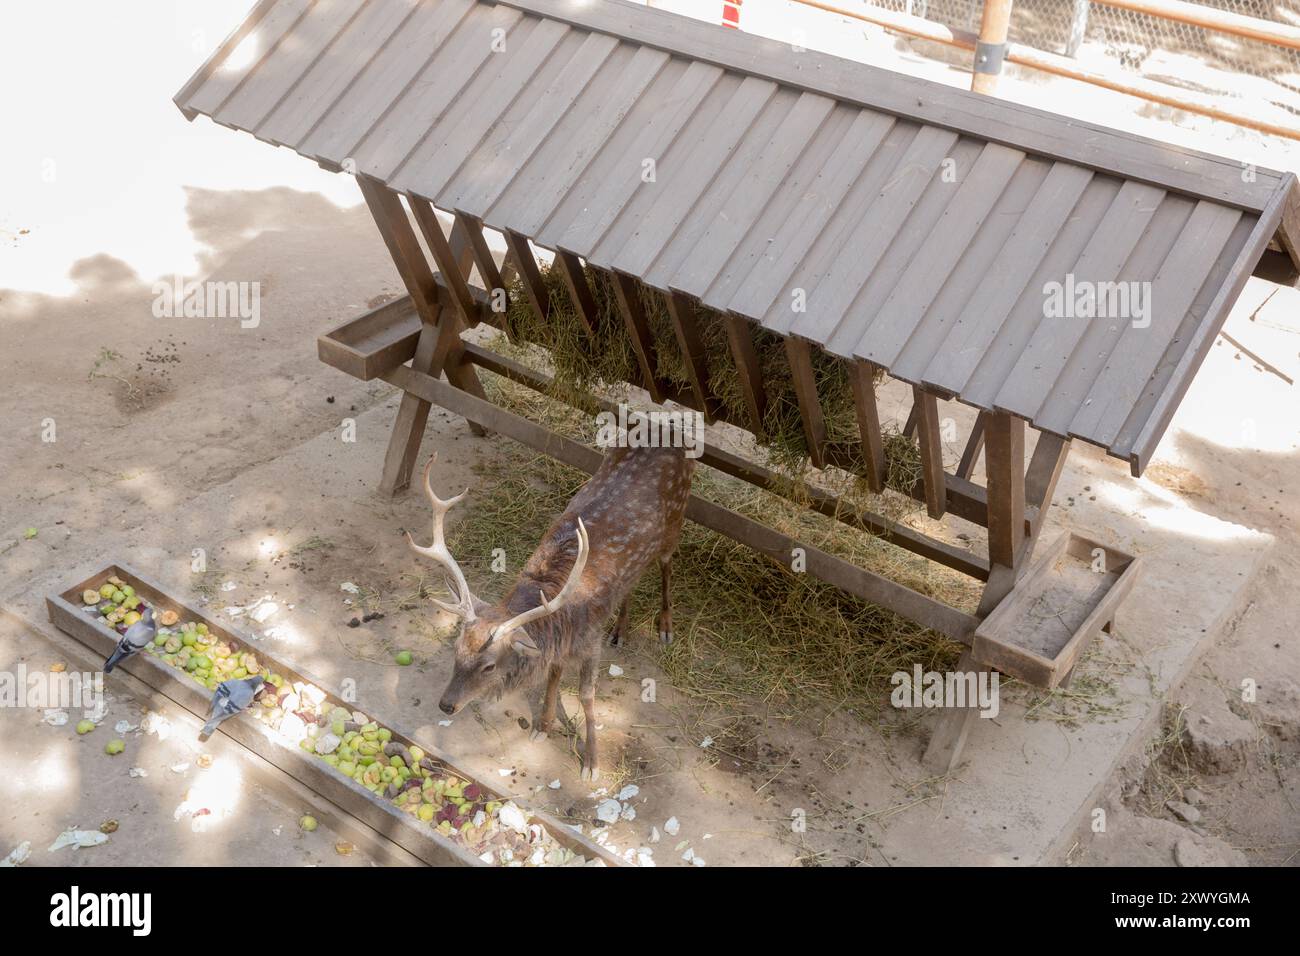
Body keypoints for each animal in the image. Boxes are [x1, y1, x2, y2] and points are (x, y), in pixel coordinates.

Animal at [407, 443, 695, 780]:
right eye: (457, 649)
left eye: (489, 666)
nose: (446, 705)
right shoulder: (560, 643)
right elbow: (554, 676)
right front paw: (543, 726)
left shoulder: (590, 639)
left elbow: (586, 695)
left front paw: (591, 763)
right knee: (632, 583)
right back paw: (620, 631)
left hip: (676, 522)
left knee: (666, 566)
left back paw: (665, 627)